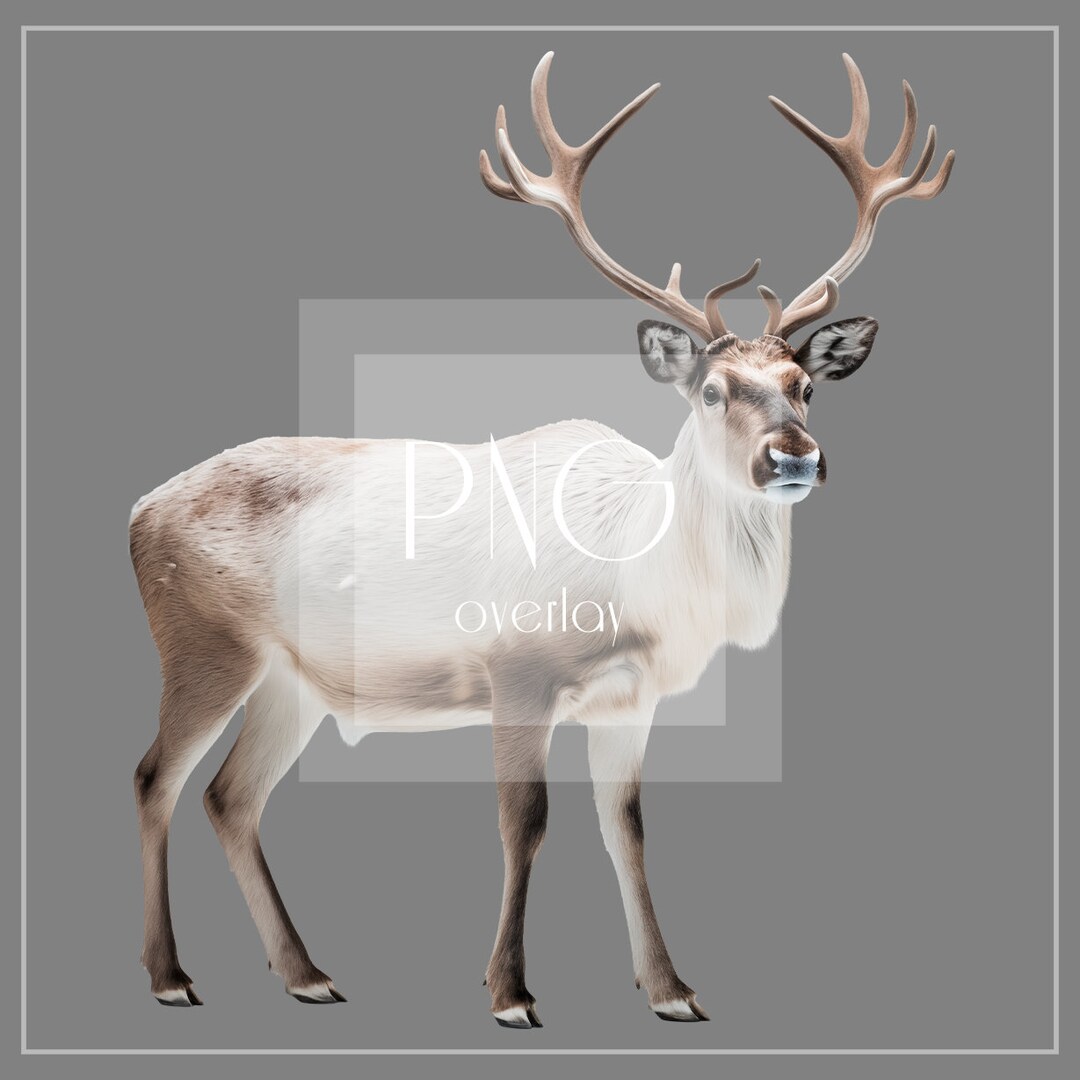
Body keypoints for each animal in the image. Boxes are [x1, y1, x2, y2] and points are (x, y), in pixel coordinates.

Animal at [130, 52, 953, 1027]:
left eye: (806, 385)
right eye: (713, 391)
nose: (795, 456)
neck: (642, 586)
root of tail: (137, 511)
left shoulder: (630, 698)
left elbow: (626, 827)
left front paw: (671, 989)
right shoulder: (516, 670)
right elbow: (526, 822)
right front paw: (510, 992)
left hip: (293, 679)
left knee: (231, 797)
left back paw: (307, 974)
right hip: (204, 644)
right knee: (157, 777)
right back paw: (171, 976)